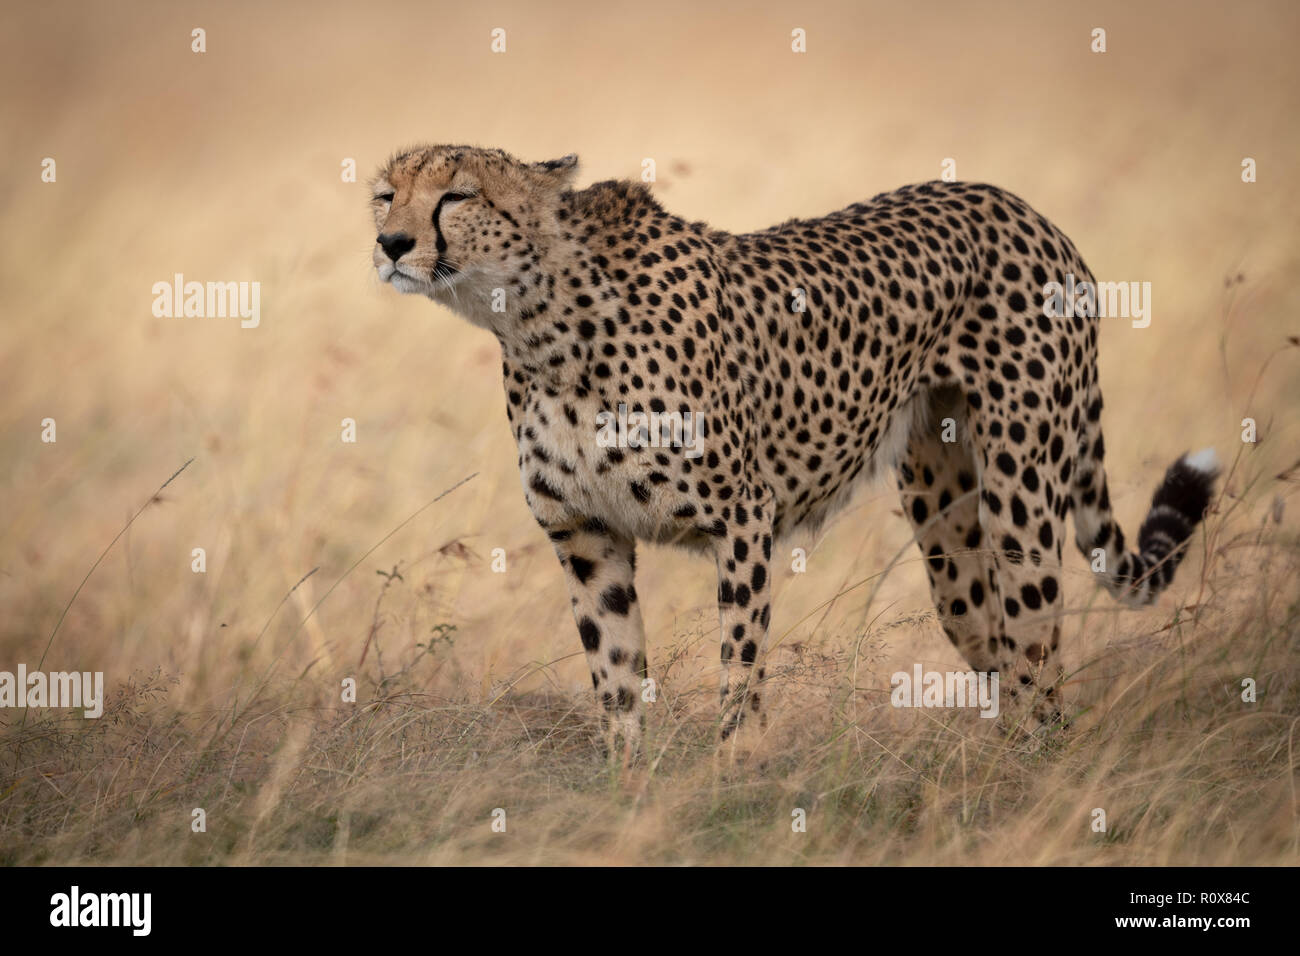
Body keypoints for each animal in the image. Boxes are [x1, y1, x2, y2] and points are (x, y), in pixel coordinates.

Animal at [369, 144, 1218, 760]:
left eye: (456, 196)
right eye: (384, 193)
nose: (390, 243)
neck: (539, 325)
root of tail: (1020, 207)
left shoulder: (743, 516)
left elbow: (739, 666)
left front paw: (731, 773)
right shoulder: (585, 534)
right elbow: (614, 675)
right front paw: (625, 783)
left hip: (1021, 498)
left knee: (1039, 656)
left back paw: (1033, 771)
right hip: (949, 531)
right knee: (998, 645)